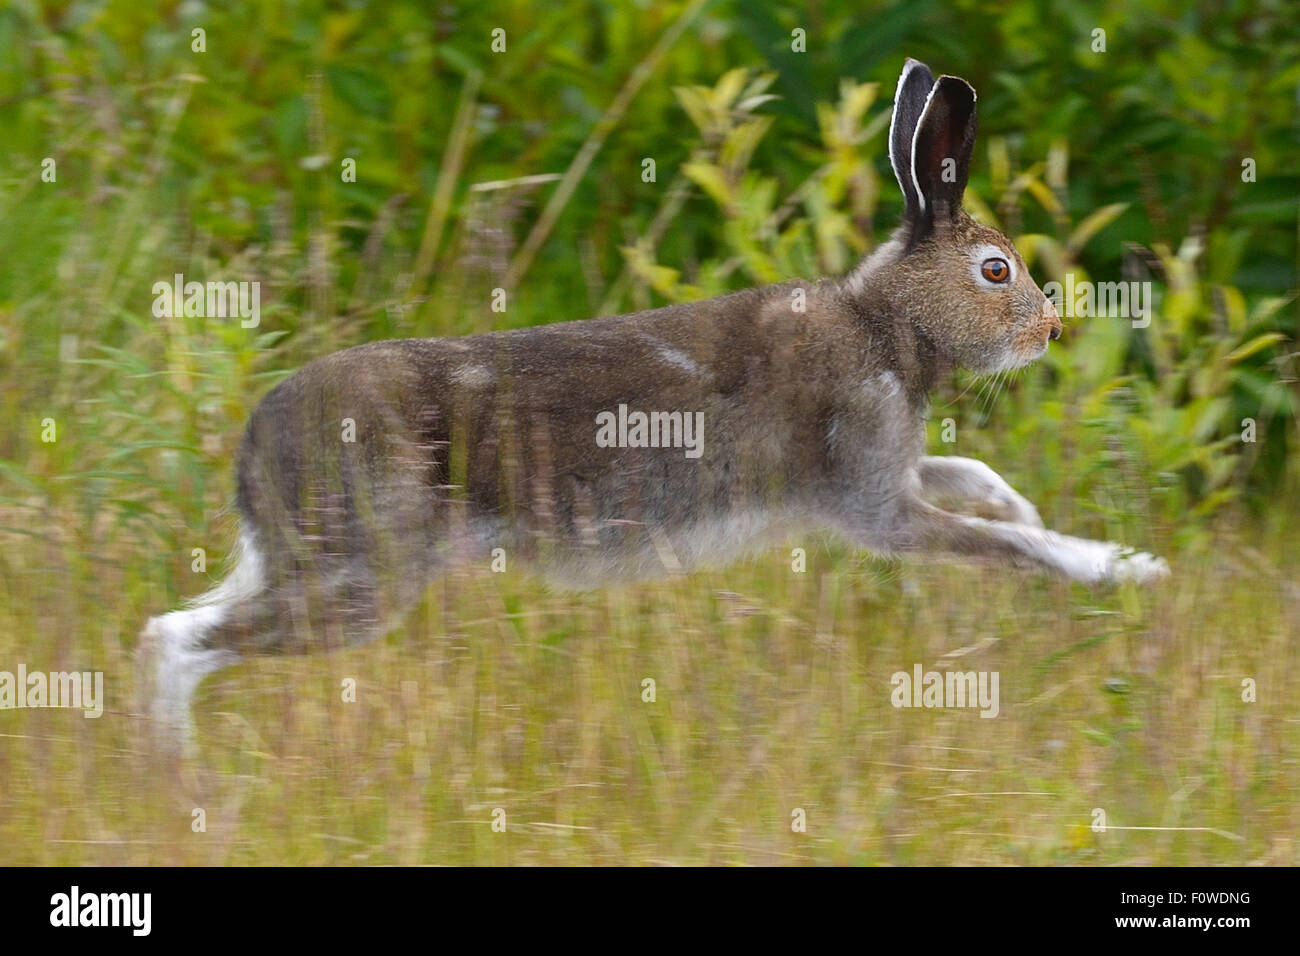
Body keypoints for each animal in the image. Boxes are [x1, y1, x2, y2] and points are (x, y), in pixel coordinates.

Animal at [139, 58, 1167, 750]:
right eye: (996, 270)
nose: (1053, 329)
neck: (884, 322)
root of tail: (254, 447)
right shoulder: (875, 504)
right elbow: (1005, 548)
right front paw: (1122, 565)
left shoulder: (894, 472)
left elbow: (976, 478)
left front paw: (1032, 510)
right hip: (367, 573)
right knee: (177, 638)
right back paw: (177, 775)